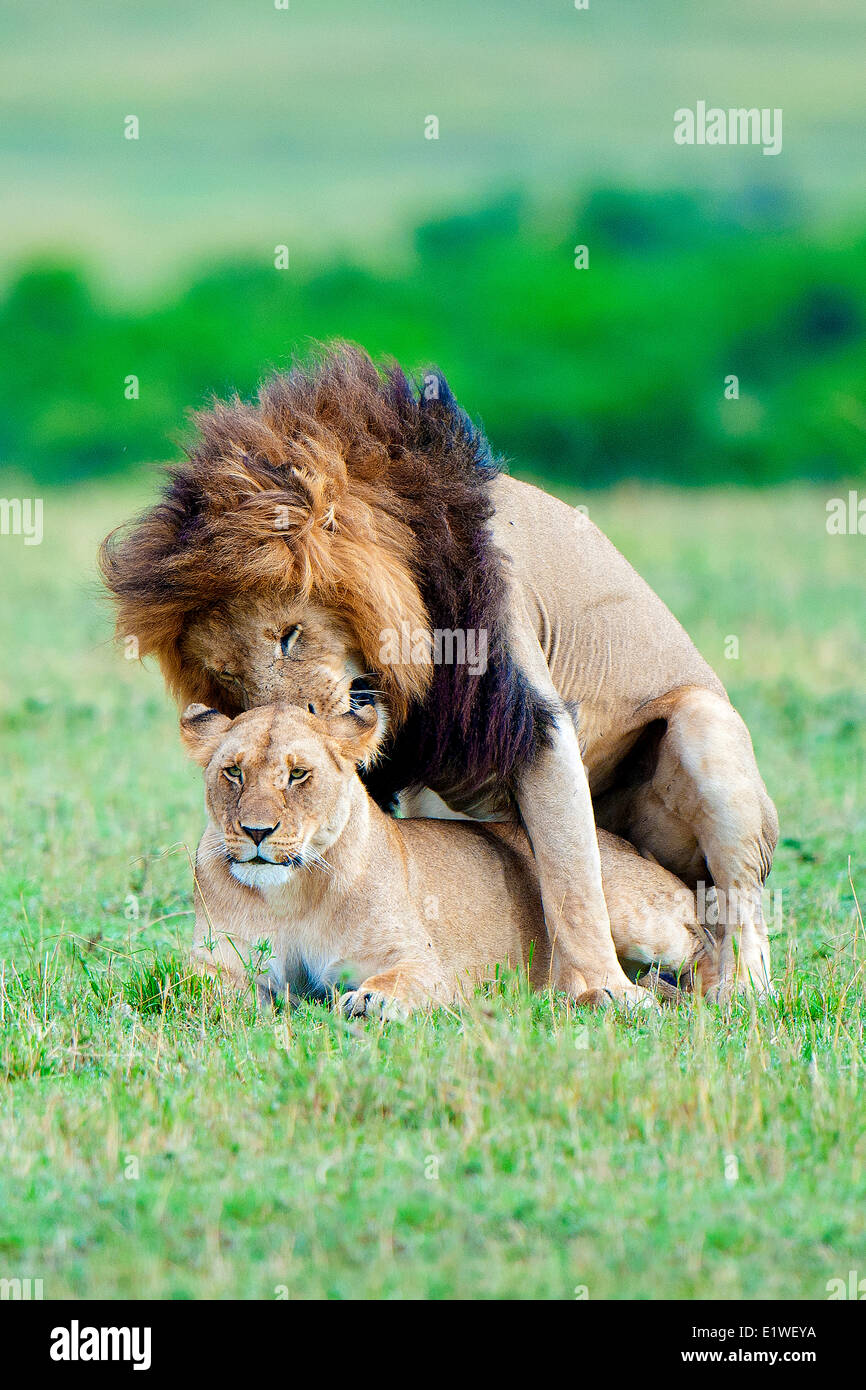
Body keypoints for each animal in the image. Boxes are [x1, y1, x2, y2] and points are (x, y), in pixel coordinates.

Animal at [177, 706, 717, 1011]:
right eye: (233, 772)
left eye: (297, 775)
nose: (256, 832)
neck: (292, 895)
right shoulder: (215, 963)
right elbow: (201, 988)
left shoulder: (421, 962)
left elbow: (397, 981)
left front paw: (370, 1000)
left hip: (625, 911)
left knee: (705, 944)